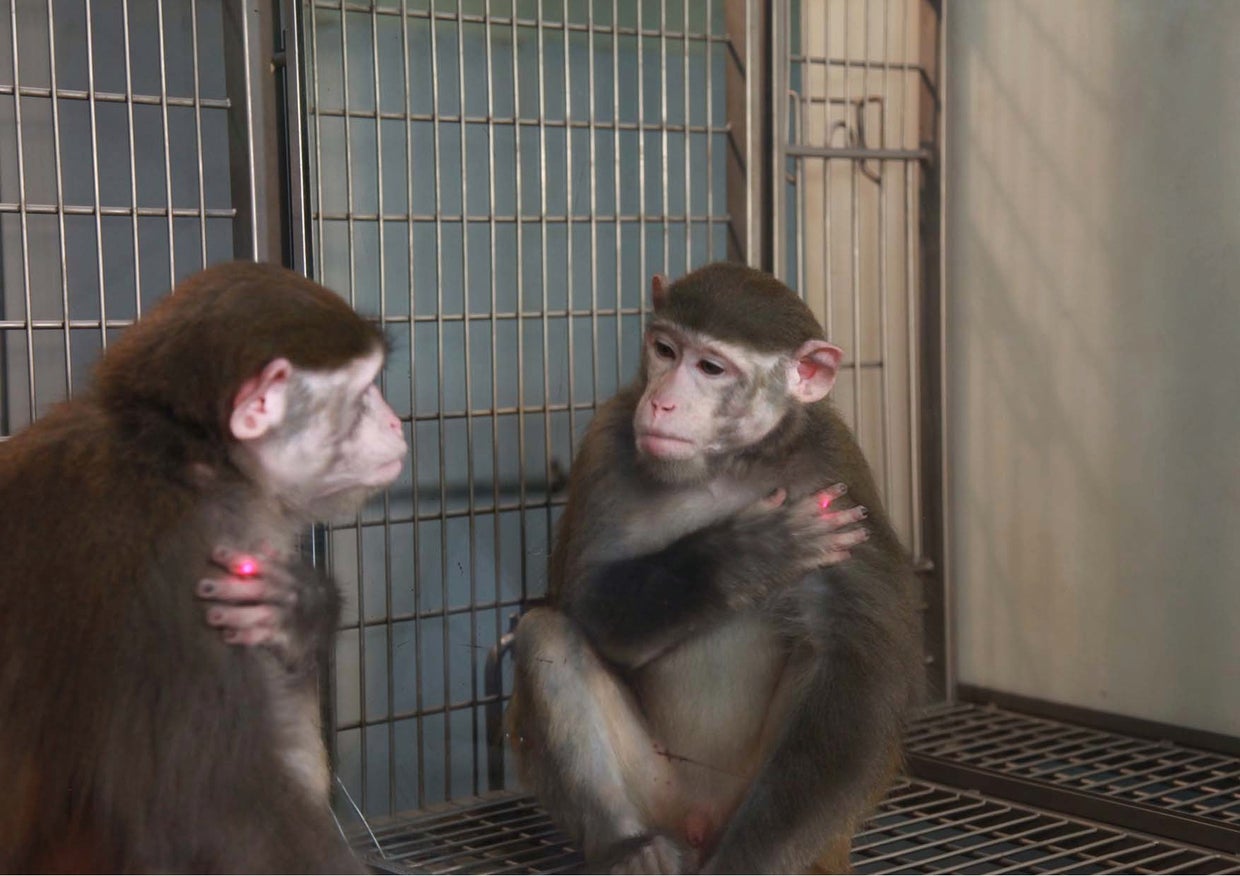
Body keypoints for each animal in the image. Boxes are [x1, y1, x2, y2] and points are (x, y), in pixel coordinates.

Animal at [0, 261, 407, 873]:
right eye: (363, 395)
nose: (398, 424)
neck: (189, 457)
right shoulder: (168, 569)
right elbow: (206, 813)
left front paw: (303, 609)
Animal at [507, 262, 918, 874]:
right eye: (665, 350)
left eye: (710, 367)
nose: (661, 403)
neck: (727, 466)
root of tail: (696, 822)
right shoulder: (608, 443)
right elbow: (590, 605)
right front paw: (750, 551)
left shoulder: (834, 473)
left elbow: (853, 676)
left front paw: (742, 865)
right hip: (660, 791)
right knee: (545, 634)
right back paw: (633, 849)